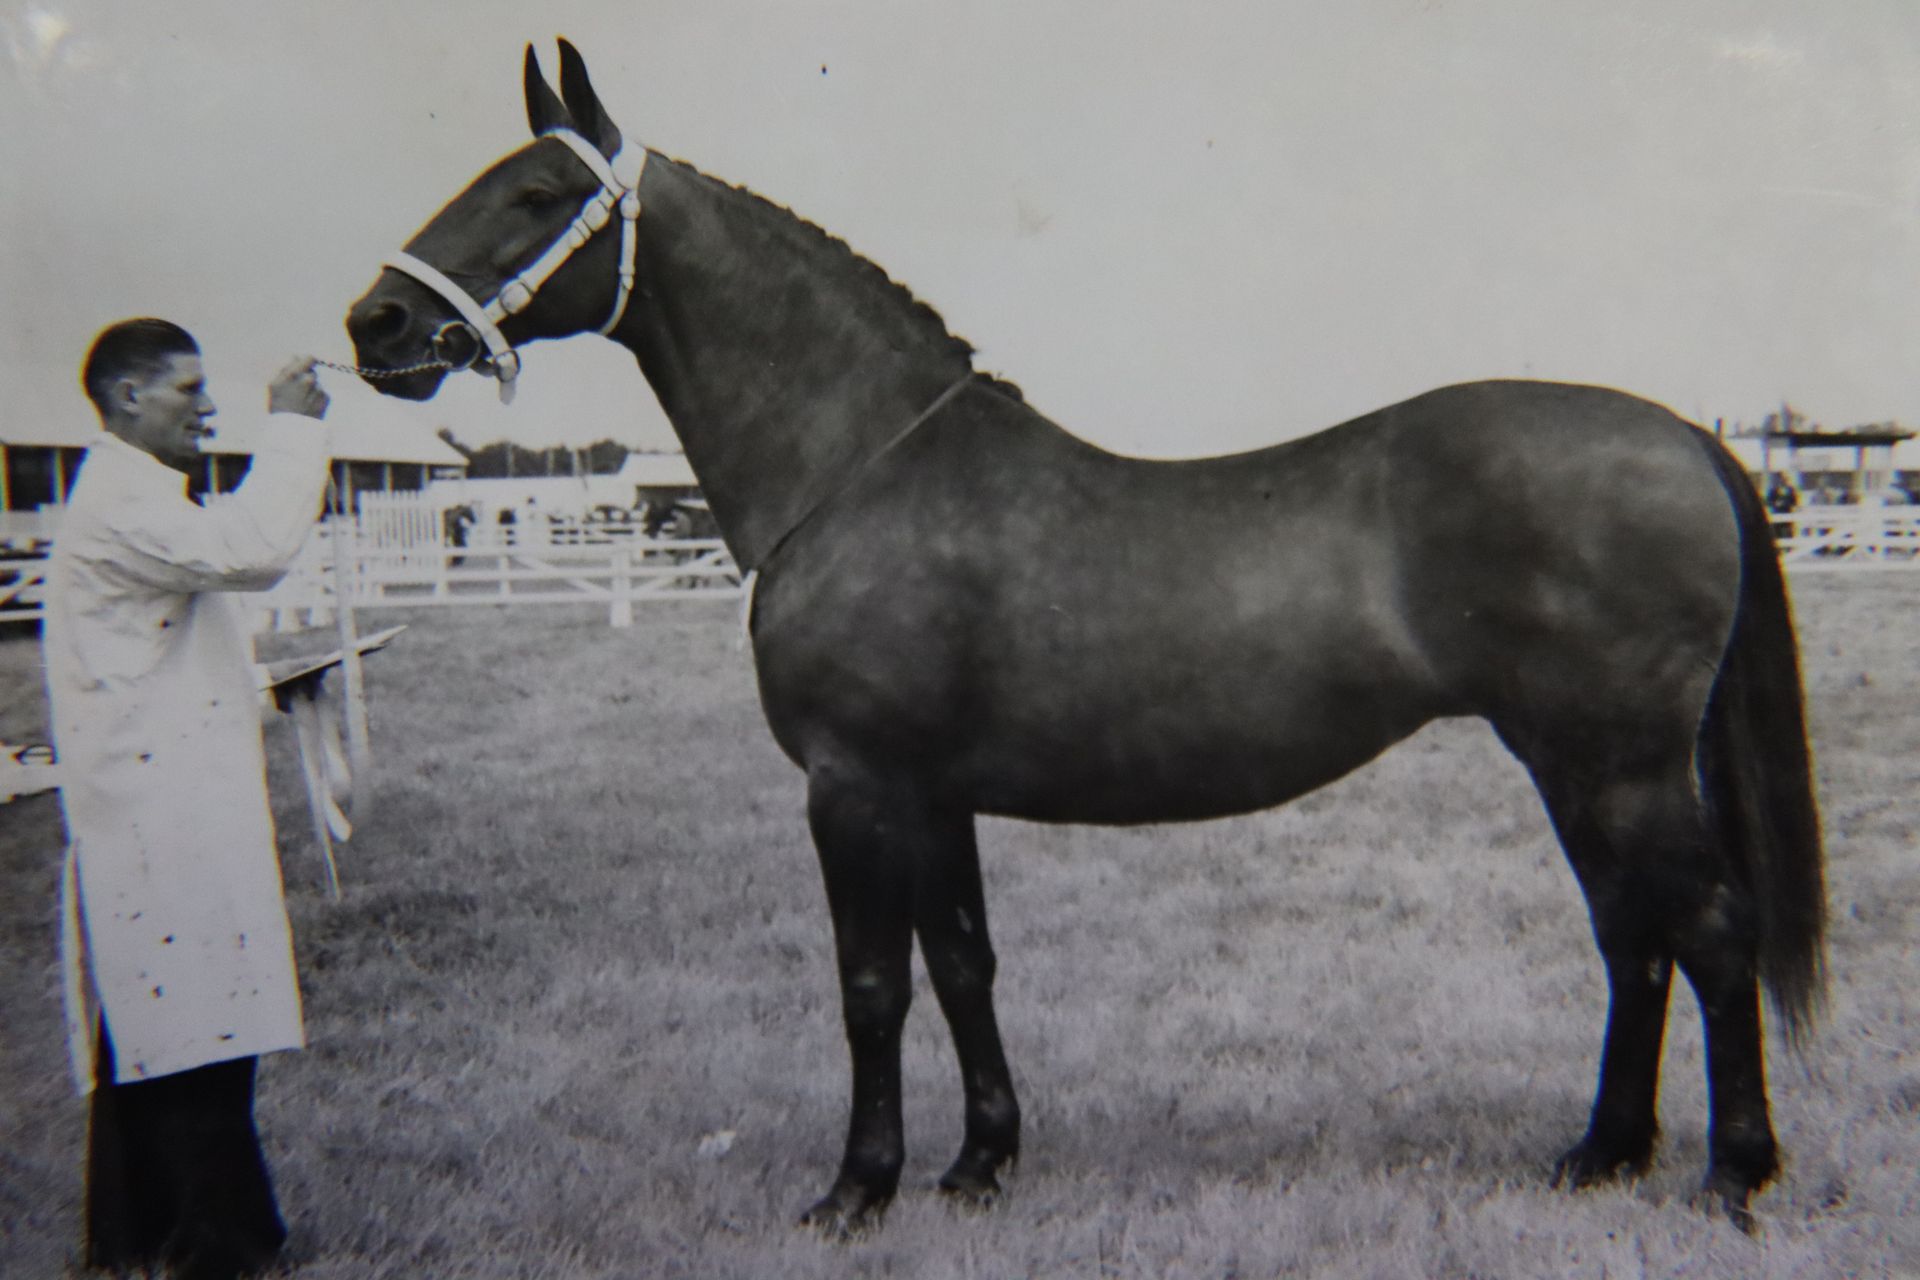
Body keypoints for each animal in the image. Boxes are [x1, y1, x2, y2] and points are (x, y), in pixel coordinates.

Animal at [344, 41, 1826, 1233]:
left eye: (537, 194)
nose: (378, 322)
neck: (863, 464)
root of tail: (1684, 435)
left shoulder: (855, 788)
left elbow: (872, 983)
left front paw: (857, 1189)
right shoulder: (931, 794)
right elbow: (962, 965)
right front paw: (979, 1165)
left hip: (1621, 763)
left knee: (1709, 929)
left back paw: (1732, 1172)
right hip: (1571, 761)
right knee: (1633, 935)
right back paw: (1603, 1153)